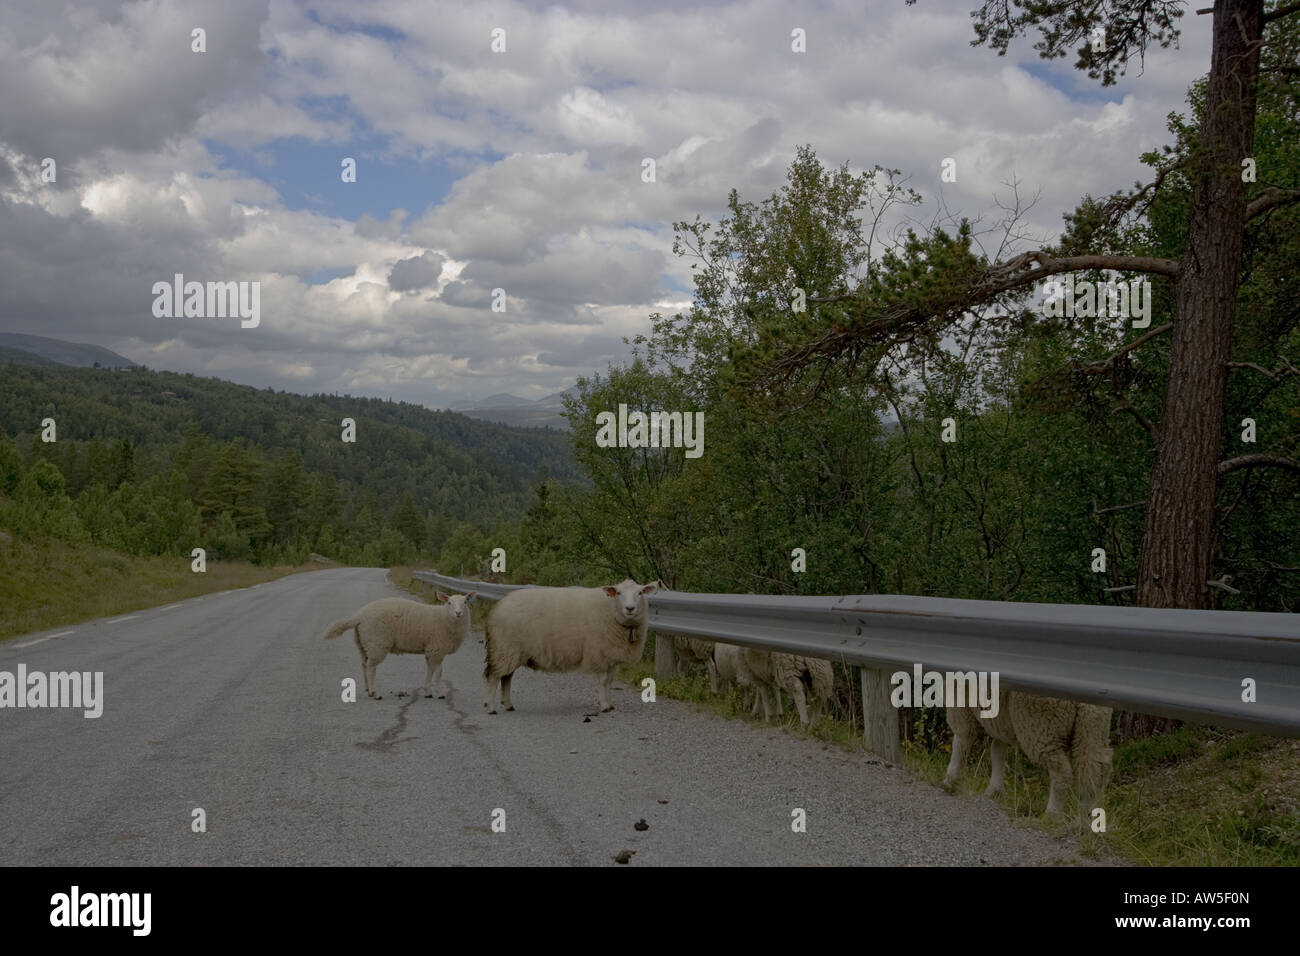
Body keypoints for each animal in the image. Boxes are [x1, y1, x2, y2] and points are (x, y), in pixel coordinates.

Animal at [323, 592, 476, 700]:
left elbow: (430, 670)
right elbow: (438, 672)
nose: (458, 613)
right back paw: (374, 693)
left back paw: (367, 689)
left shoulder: (431, 650)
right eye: (449, 602)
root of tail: (359, 615)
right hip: (377, 642)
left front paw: (427, 691)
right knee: (371, 668)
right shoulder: (437, 649)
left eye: (465, 602)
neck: (444, 618)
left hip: (363, 643)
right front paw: (440, 693)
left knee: (364, 665)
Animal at [482, 579, 659, 715]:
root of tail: (498, 606)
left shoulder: (610, 656)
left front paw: (609, 704)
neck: (610, 610)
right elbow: (603, 681)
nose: (630, 608)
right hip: (504, 648)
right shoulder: (599, 653)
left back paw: (508, 705)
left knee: (506, 677)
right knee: (494, 677)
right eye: (619, 593)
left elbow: (609, 682)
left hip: (511, 651)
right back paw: (491, 708)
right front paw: (604, 706)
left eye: (640, 593)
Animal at [943, 691, 1113, 822]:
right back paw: (1086, 817)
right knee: (1096, 771)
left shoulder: (960, 698)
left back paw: (1052, 814)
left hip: (1040, 724)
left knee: (1062, 771)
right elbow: (997, 750)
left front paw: (950, 779)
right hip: (1092, 728)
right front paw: (994, 790)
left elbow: (961, 740)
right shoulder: (1002, 716)